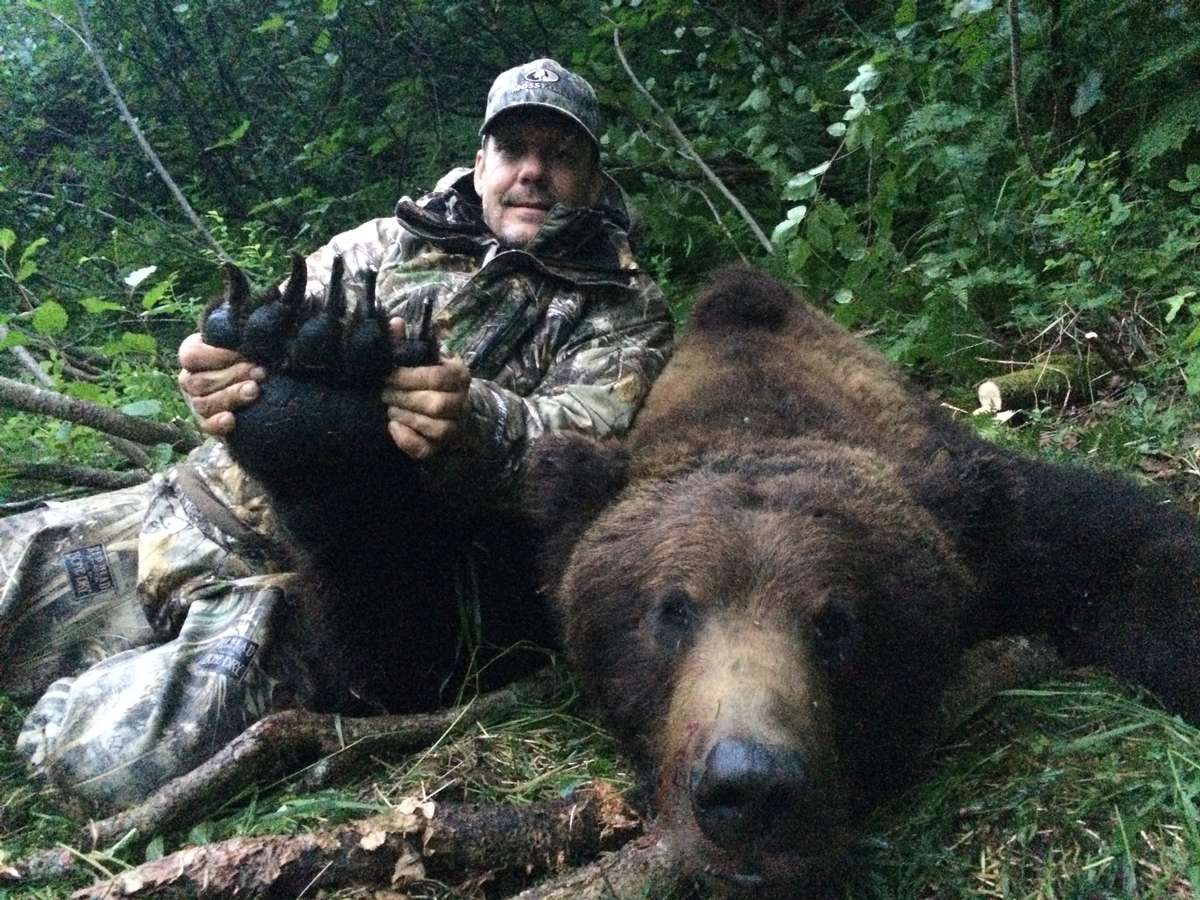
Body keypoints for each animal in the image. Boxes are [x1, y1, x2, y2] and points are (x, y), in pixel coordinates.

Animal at [525, 267, 1200, 894]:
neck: (757, 415)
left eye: (838, 622)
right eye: (672, 611)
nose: (750, 788)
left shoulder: (1005, 530)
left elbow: (1131, 548)